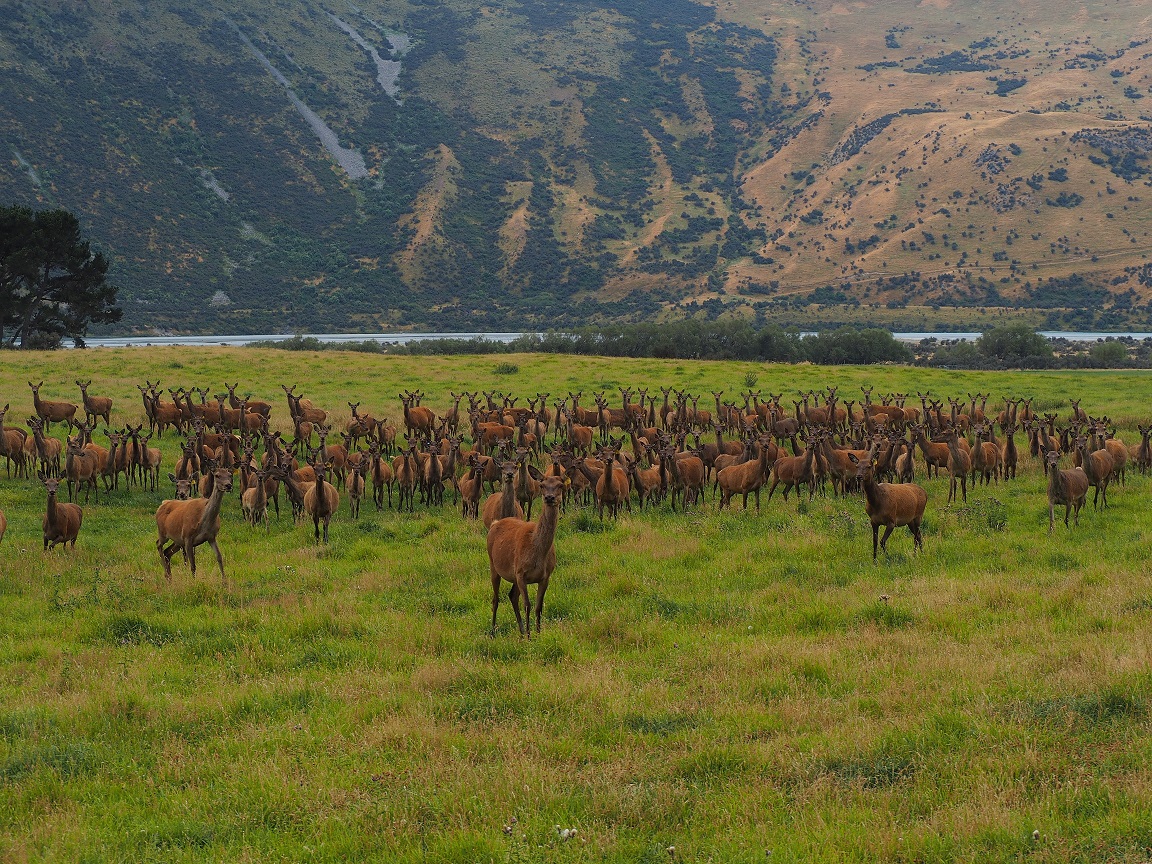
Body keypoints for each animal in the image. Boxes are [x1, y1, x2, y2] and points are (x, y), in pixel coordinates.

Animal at [487, 474, 564, 638]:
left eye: (561, 485)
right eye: (542, 485)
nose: (549, 497)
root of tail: (494, 523)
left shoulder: (545, 576)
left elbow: (538, 607)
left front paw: (538, 633)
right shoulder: (521, 573)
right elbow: (527, 605)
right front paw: (529, 636)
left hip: (513, 575)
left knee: (512, 596)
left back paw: (521, 632)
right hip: (493, 565)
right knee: (496, 599)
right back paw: (493, 631)